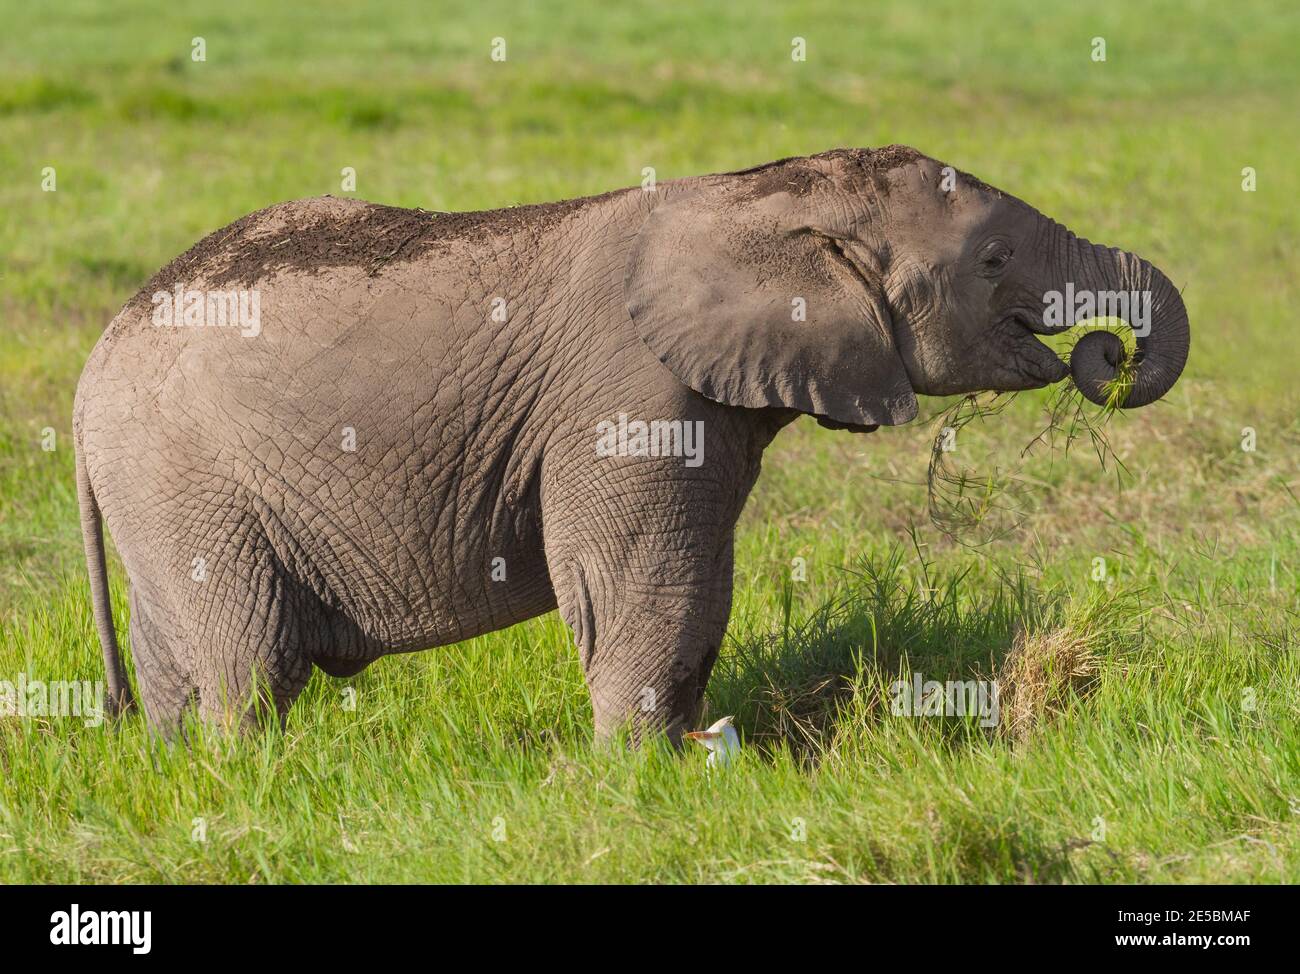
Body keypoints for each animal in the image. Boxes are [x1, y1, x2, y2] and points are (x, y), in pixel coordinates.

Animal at [74, 145, 1189, 741]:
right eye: (993, 258)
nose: (1106, 351)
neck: (763, 193)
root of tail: (92, 367)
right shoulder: (625, 393)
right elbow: (643, 577)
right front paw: (640, 772)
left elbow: (702, 580)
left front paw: (695, 751)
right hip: (185, 475)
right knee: (251, 659)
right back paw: (244, 771)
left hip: (160, 489)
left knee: (179, 655)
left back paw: (176, 767)